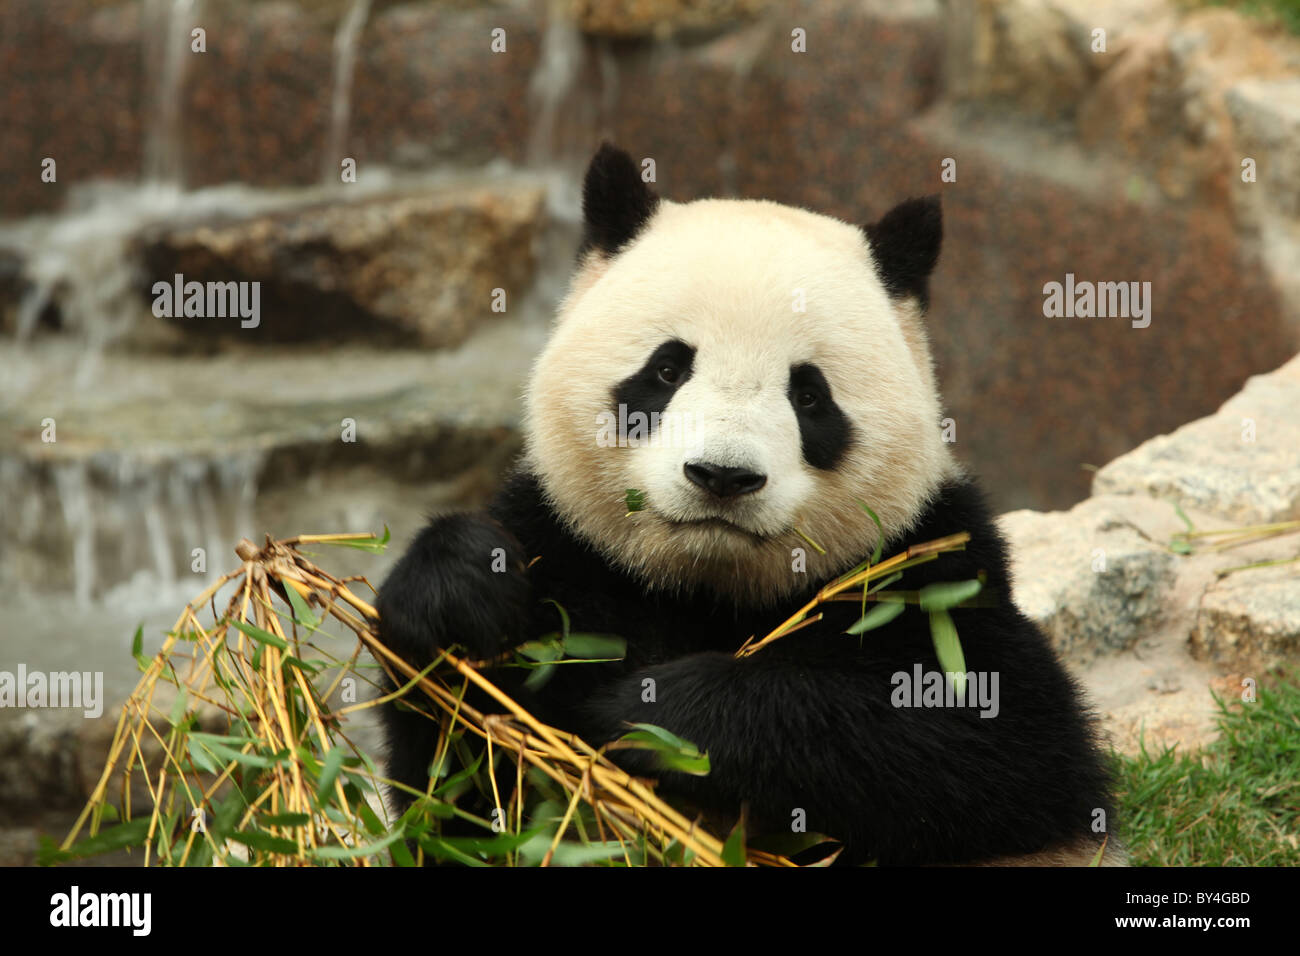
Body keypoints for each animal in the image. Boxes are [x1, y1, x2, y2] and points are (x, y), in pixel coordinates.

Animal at [375, 143, 1118, 866]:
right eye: (667, 369)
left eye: (809, 395)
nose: (722, 476)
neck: (709, 587)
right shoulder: (568, 549)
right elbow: (462, 788)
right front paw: (458, 594)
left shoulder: (931, 571)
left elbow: (994, 737)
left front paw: (648, 717)